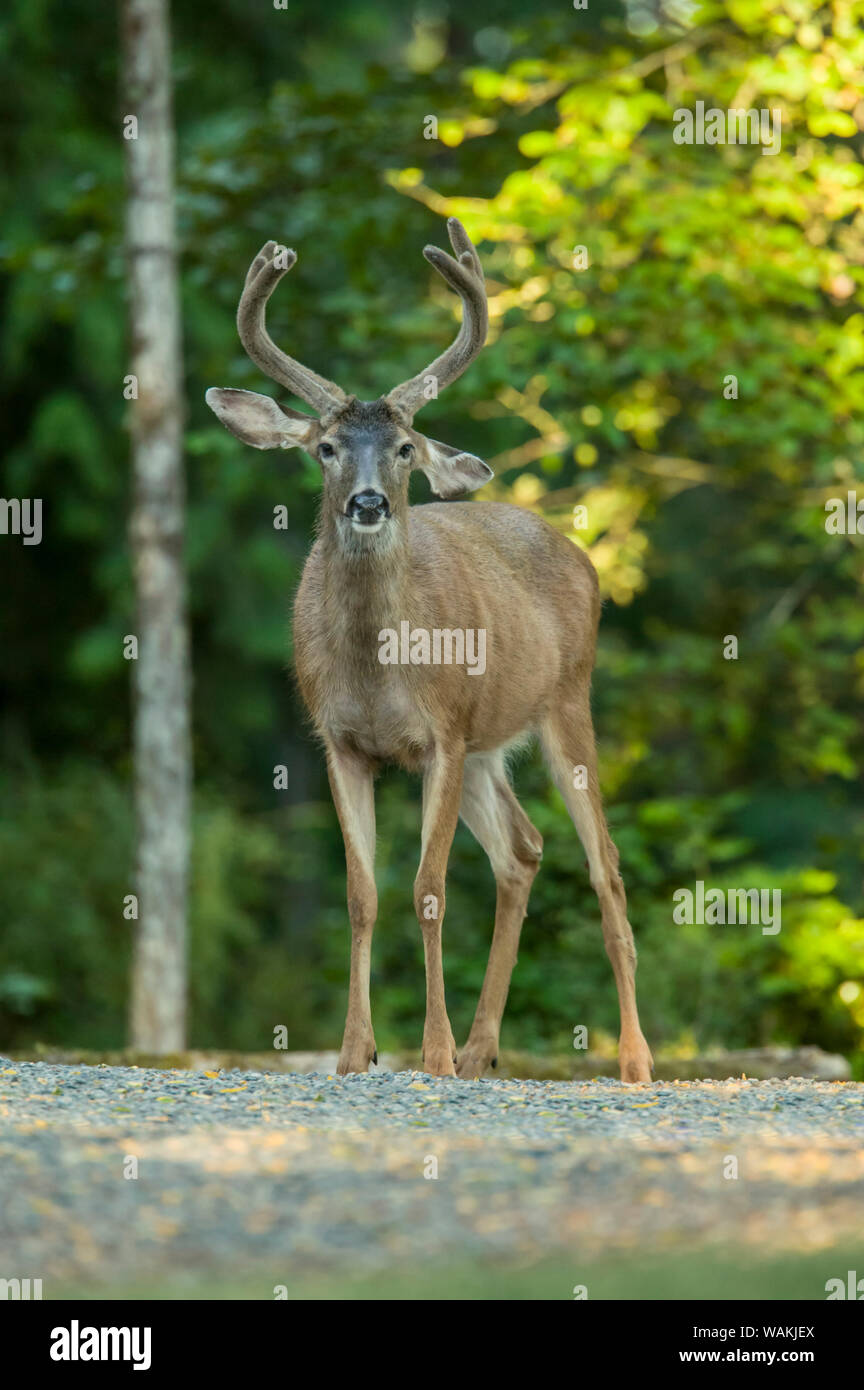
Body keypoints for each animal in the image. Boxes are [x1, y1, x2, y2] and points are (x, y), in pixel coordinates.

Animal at [206, 217, 654, 1083]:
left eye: (406, 447)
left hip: (566, 702)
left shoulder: (440, 735)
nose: (368, 503)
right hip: (486, 746)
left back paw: (633, 1061)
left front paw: (433, 1054)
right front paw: (356, 1053)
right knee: (523, 849)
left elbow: (429, 888)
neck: (381, 667)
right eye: (325, 447)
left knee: (606, 861)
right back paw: (486, 1049)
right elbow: (362, 894)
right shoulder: (343, 742)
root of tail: (581, 557)